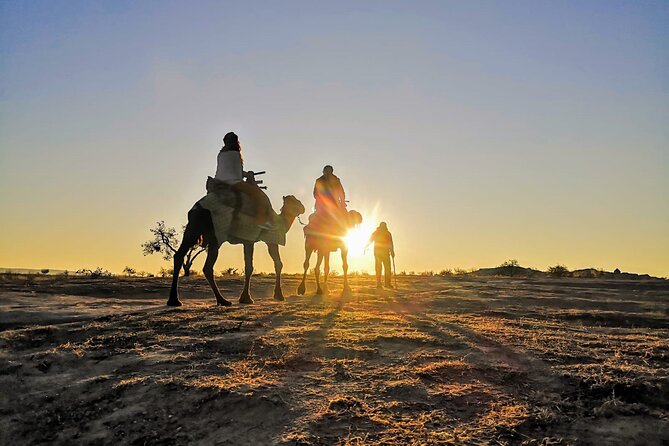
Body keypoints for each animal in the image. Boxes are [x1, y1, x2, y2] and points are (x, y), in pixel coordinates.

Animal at [168, 192, 305, 307]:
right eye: (296, 202)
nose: (303, 208)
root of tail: (198, 208)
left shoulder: (248, 240)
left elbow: (251, 266)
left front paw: (246, 298)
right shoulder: (266, 238)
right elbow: (274, 264)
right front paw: (277, 296)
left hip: (193, 228)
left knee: (179, 255)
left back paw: (174, 300)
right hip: (216, 234)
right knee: (207, 266)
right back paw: (222, 300)